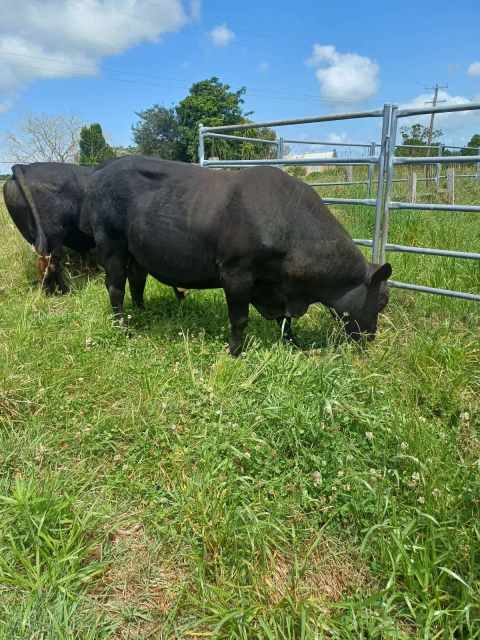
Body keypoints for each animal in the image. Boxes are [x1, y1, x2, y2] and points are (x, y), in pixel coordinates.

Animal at [80, 156, 392, 356]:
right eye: (382, 301)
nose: (371, 339)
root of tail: (102, 169)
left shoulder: (275, 287)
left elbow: (285, 321)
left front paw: (293, 345)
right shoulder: (236, 273)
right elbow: (239, 319)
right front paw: (234, 352)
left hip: (137, 251)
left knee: (137, 280)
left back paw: (142, 312)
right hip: (112, 245)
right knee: (115, 287)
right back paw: (123, 327)